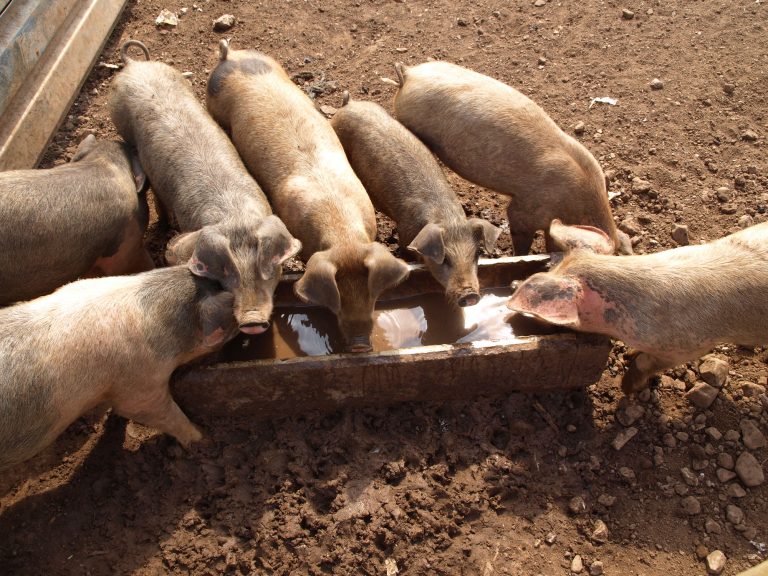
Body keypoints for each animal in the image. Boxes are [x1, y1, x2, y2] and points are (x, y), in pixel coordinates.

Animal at [109, 40, 301, 335]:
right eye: (226, 273)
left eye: (268, 267)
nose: (253, 322)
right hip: (121, 124)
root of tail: (134, 65)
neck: (236, 216)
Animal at [330, 95, 501, 308]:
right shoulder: (404, 234)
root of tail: (349, 103)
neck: (447, 217)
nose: (470, 295)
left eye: (477, 254)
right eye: (445, 259)